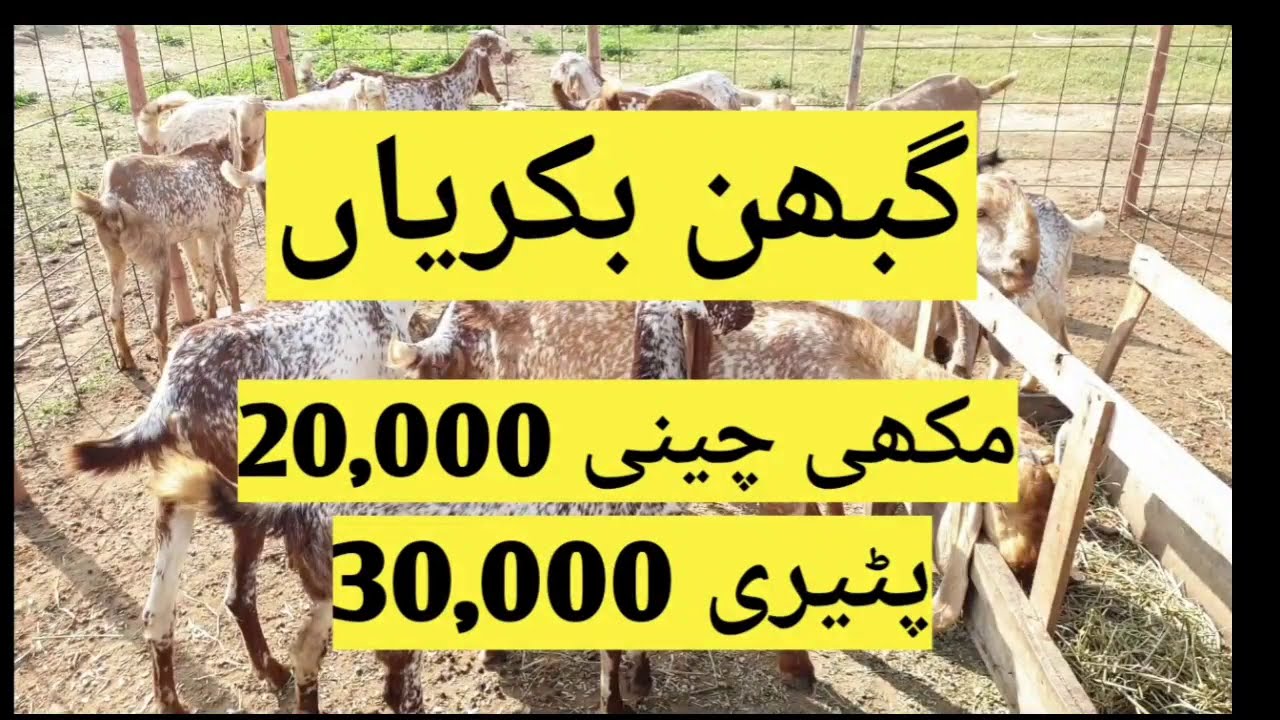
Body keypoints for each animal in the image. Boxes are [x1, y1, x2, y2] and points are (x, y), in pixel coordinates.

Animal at [65, 299, 419, 713]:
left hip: (175, 497)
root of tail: (171, 399)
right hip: (245, 499)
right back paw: (275, 671)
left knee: (158, 612)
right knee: (239, 595)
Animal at [69, 117, 249, 370]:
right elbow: (231, 284)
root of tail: (110, 200)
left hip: (114, 257)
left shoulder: (204, 235)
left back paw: (127, 359)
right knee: (157, 325)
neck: (222, 153)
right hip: (159, 261)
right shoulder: (225, 231)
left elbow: (211, 282)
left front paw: (210, 321)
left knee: (114, 312)